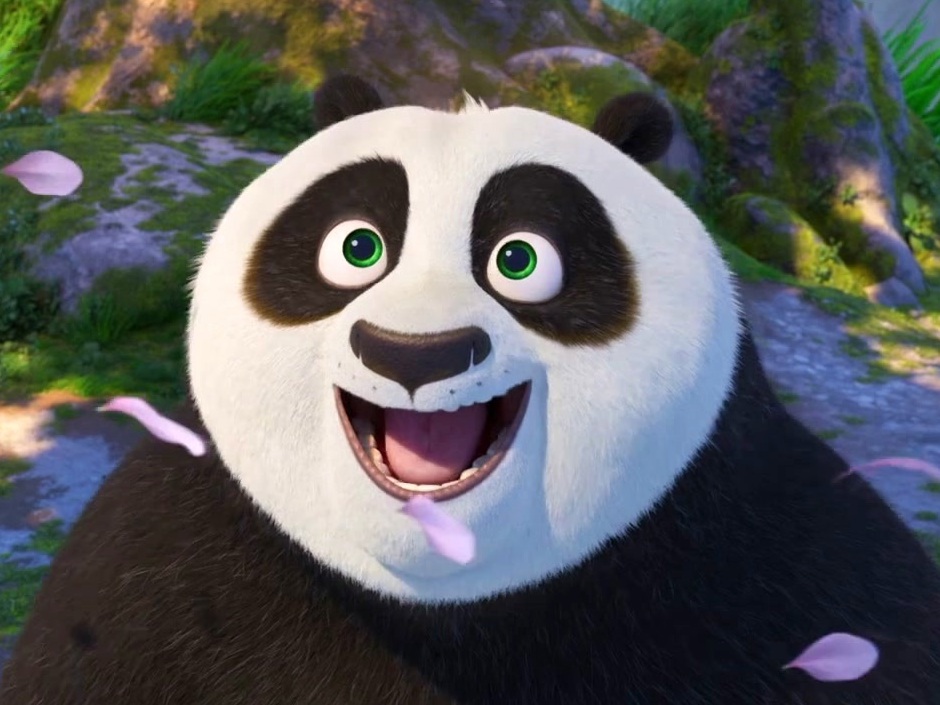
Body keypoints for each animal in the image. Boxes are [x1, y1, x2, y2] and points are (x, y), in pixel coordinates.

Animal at [2, 73, 940, 704]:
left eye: (520, 258)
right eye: (357, 247)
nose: (415, 355)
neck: (441, 592)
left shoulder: (782, 558)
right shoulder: (151, 570)